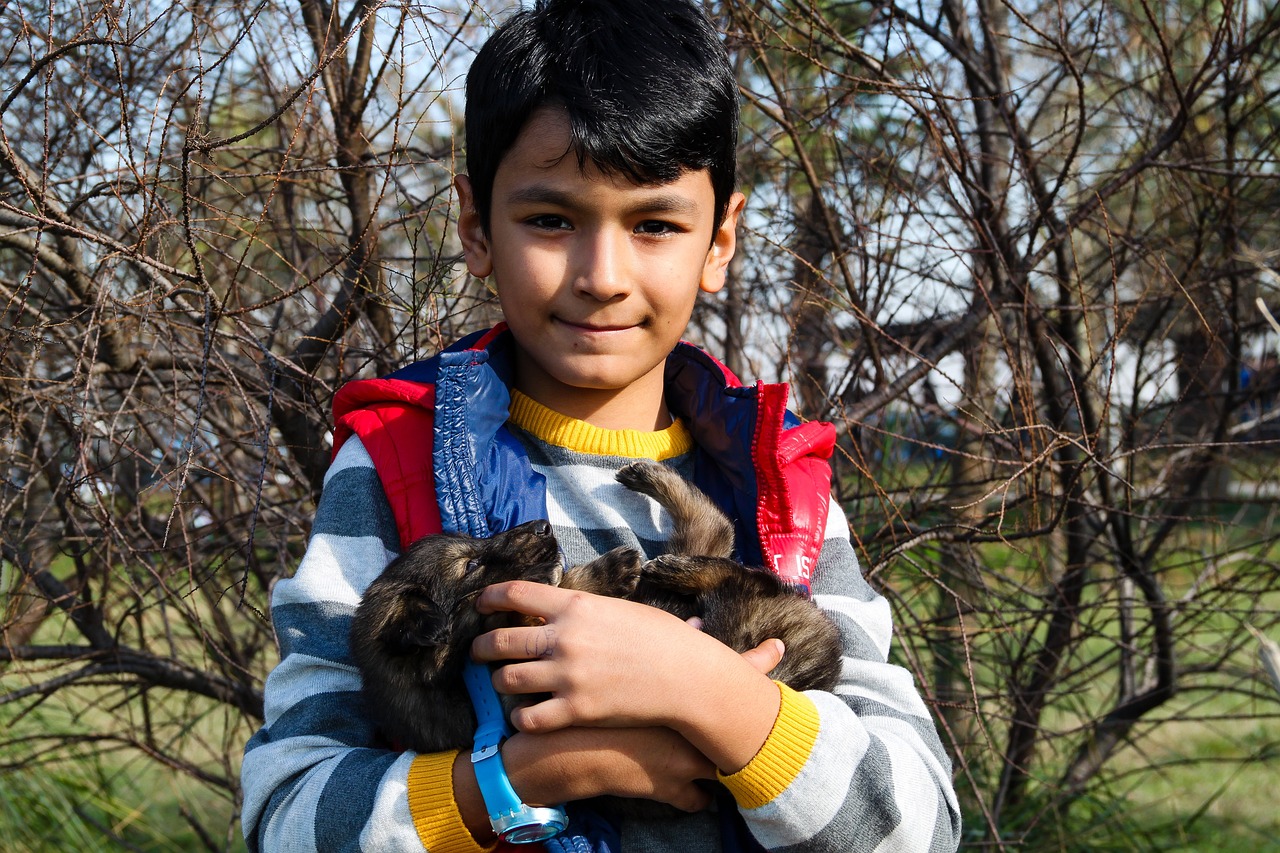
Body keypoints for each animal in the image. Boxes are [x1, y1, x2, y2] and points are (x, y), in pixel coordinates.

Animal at [348, 458, 839, 753]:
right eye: (470, 565)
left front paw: (598, 571)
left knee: (715, 528)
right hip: (738, 618)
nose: (542, 526)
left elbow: (560, 588)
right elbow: (532, 605)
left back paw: (647, 486)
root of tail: (826, 655)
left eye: (476, 543)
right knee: (730, 561)